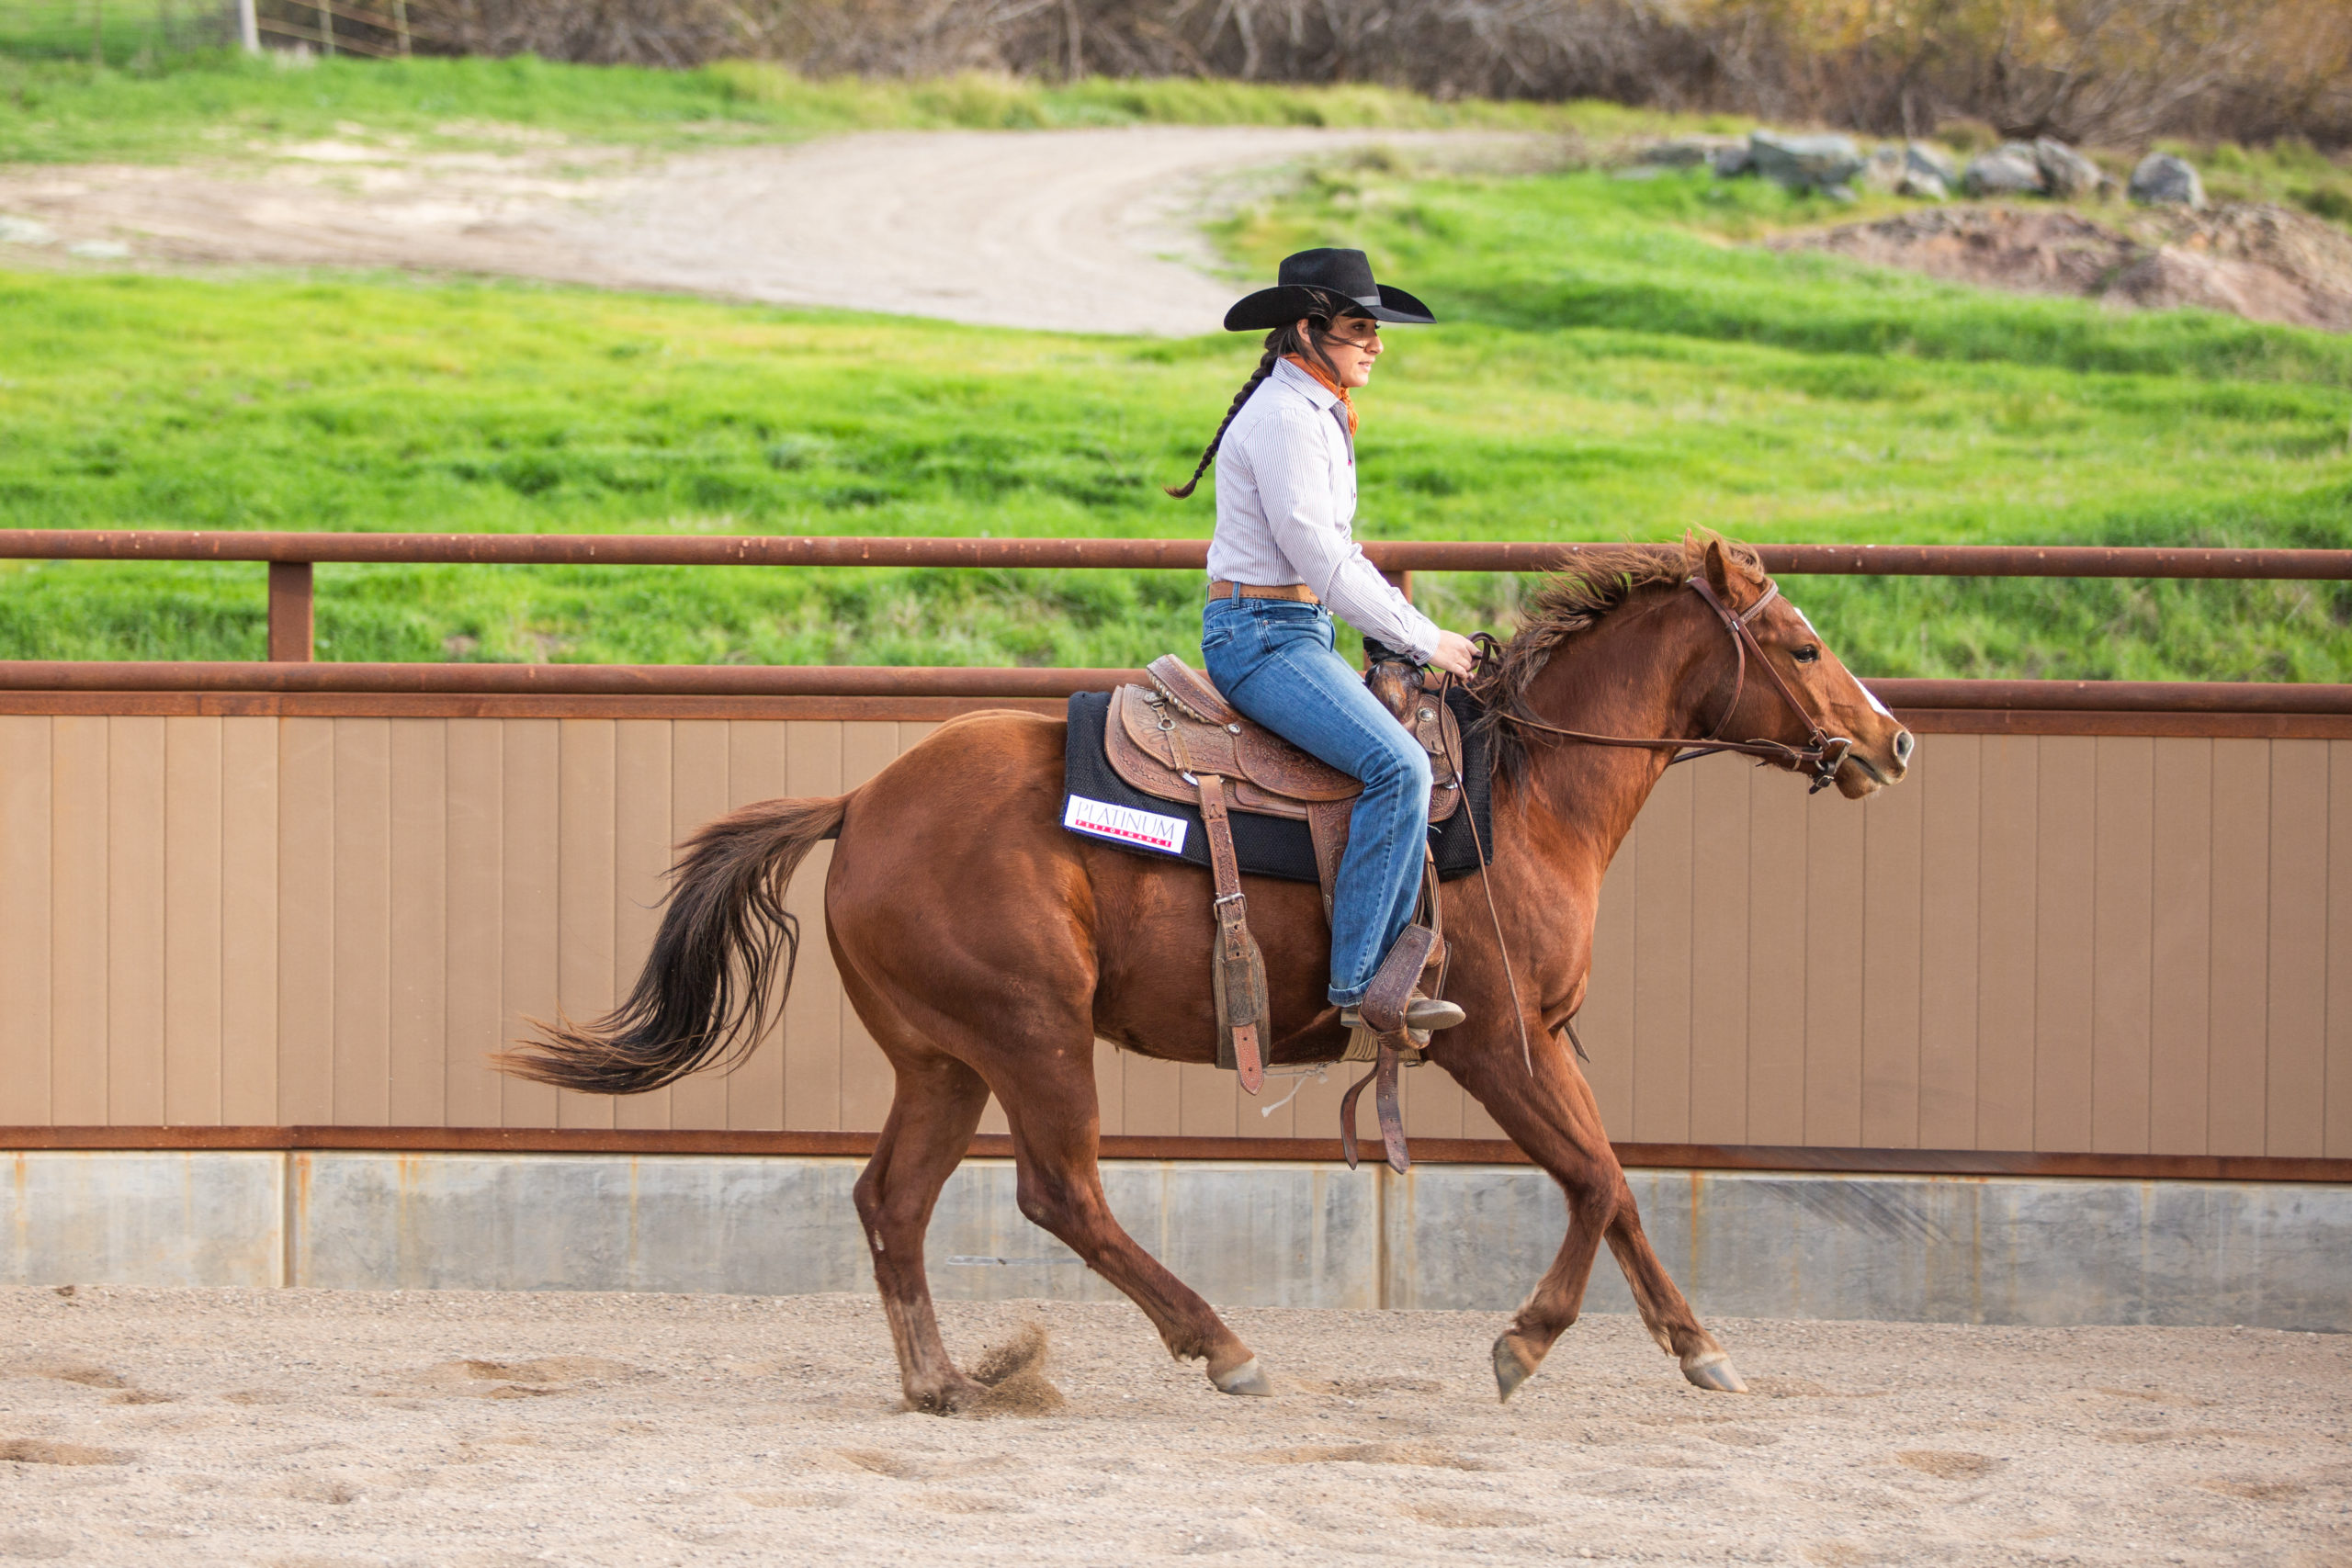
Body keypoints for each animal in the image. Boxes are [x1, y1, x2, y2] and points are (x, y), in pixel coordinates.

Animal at [499, 535, 1914, 1412]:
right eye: (1799, 645)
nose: (1891, 742)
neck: (1522, 793)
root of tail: (862, 800)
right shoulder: (1489, 1038)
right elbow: (1596, 1177)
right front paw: (1522, 1344)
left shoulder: (1550, 1038)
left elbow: (1614, 1183)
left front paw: (1702, 1350)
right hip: (1032, 1036)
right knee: (1062, 1193)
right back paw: (1221, 1345)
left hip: (944, 1057)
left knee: (892, 1202)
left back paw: (945, 1382)